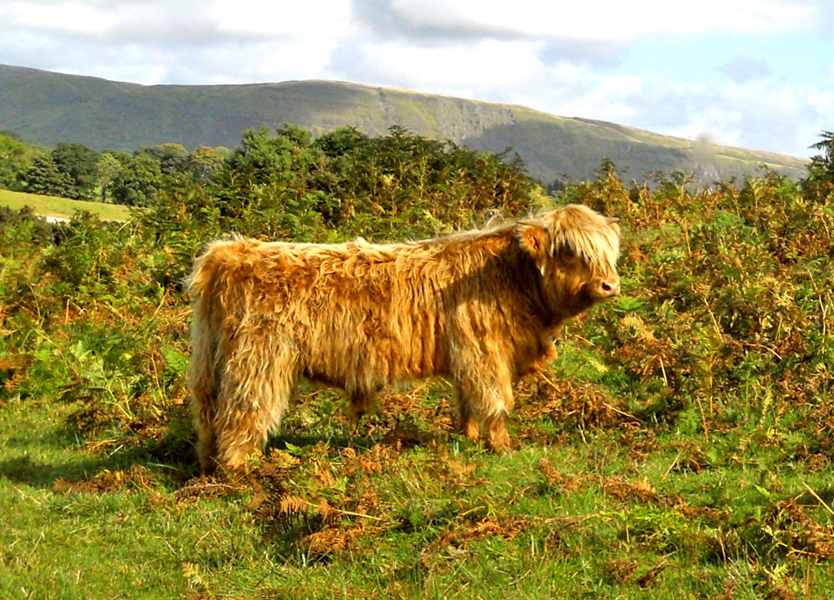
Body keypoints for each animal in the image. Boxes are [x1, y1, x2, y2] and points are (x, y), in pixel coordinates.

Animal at [188, 204, 621, 472]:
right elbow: (495, 401)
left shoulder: (465, 355)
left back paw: (208, 464)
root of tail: (228, 253)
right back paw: (239, 472)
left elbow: (467, 402)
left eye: (609, 254)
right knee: (243, 413)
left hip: (209, 361)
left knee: (207, 412)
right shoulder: (484, 352)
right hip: (258, 362)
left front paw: (468, 438)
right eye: (570, 252)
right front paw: (503, 448)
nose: (610, 285)